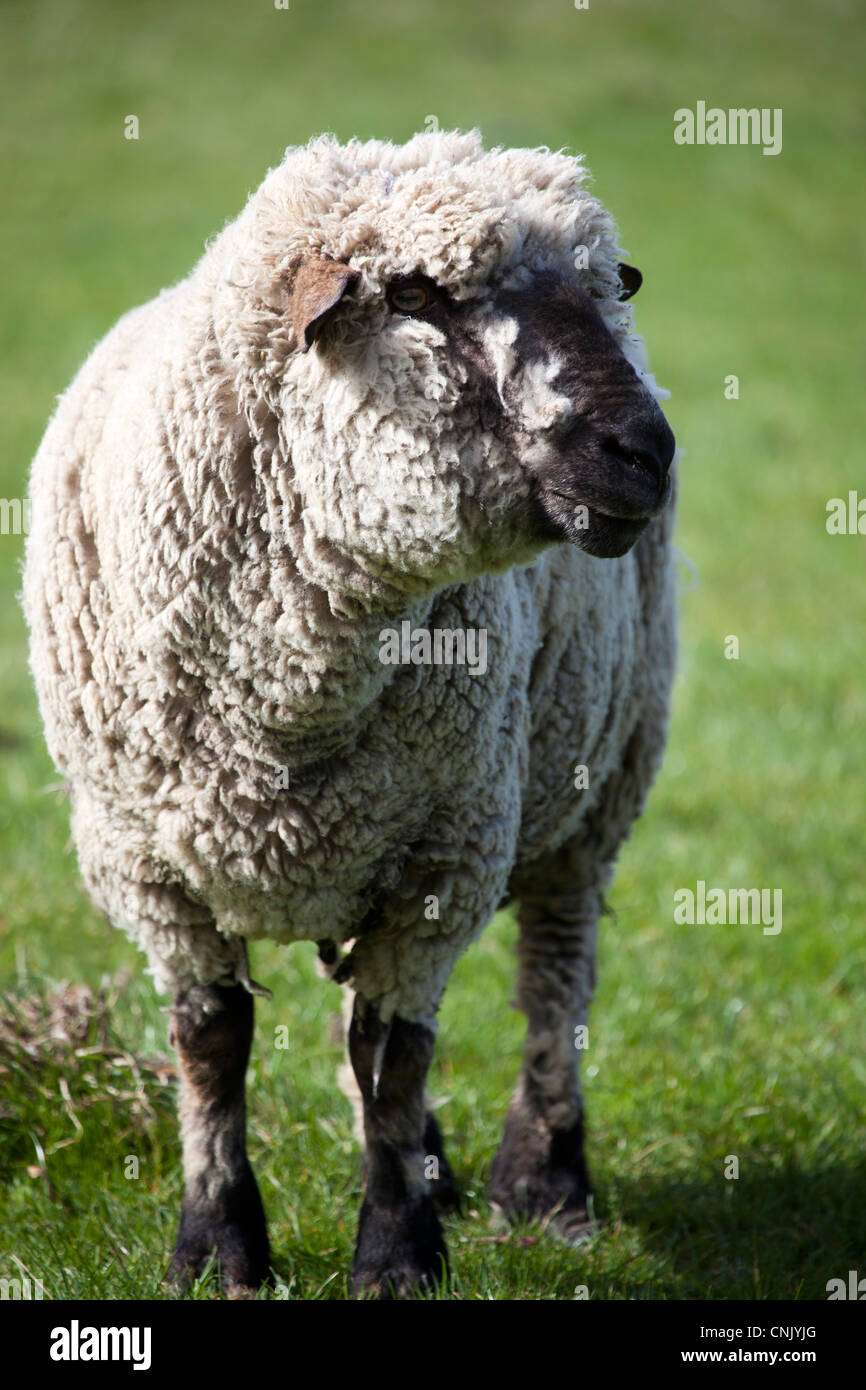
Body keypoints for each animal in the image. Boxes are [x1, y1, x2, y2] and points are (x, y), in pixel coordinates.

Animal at [22, 129, 677, 1299]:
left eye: (608, 290)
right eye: (416, 295)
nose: (644, 451)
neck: (287, 700)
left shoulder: (445, 852)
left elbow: (396, 1050)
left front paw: (395, 1254)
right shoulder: (144, 867)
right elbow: (215, 1040)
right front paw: (219, 1247)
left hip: (599, 781)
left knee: (556, 973)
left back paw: (547, 1183)